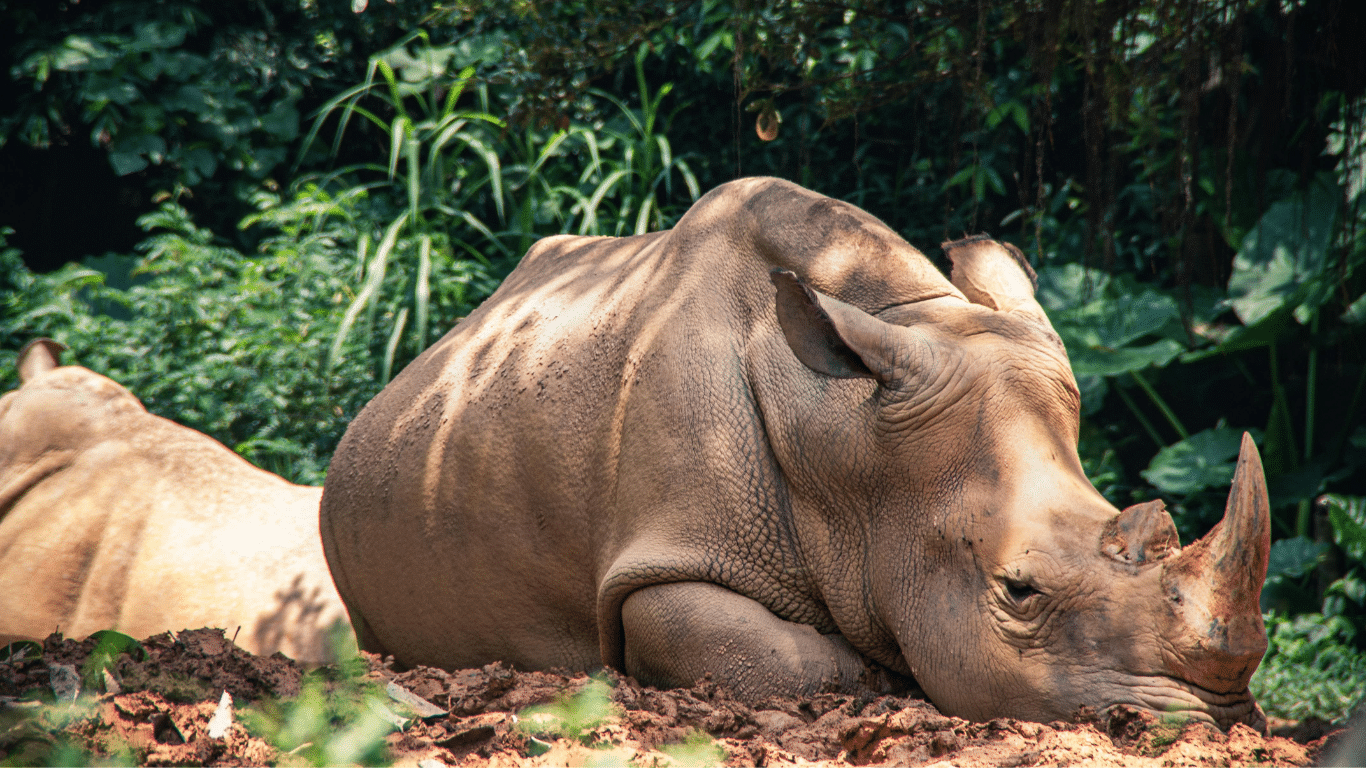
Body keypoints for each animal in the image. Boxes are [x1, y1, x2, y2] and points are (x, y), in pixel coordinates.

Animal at [320, 177, 1270, 729]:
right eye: (1018, 590)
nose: (1217, 717)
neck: (846, 441)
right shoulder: (668, 556)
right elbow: (757, 649)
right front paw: (877, 678)